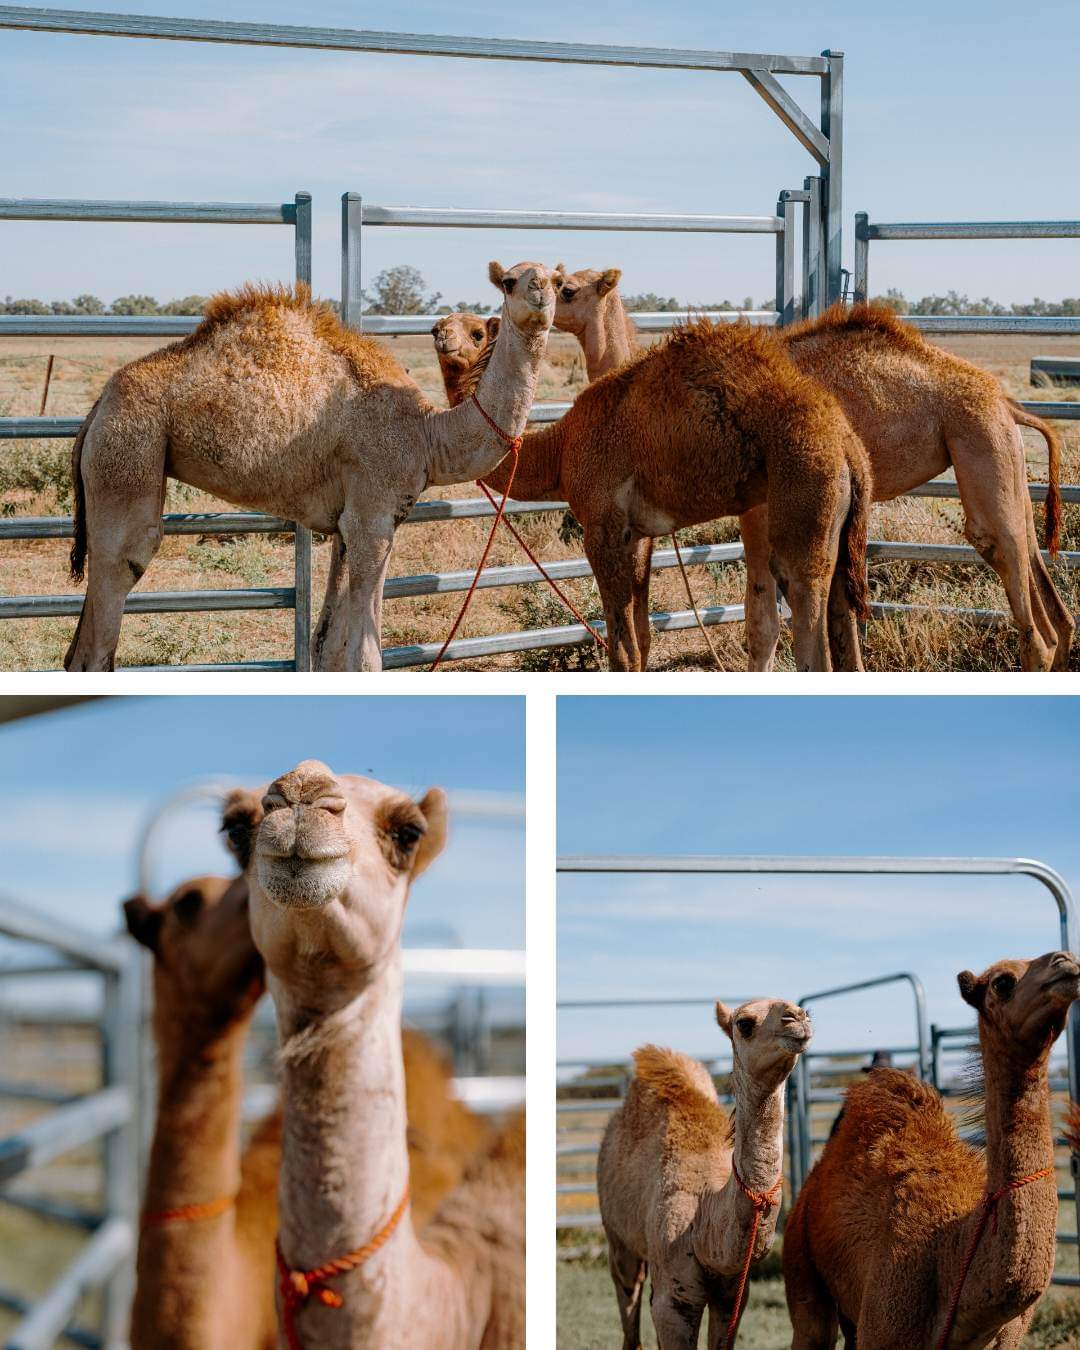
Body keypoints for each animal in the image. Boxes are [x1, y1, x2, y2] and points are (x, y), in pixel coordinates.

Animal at [64, 262, 556, 671]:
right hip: (129, 446)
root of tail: (98, 406)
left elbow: (328, 648)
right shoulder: (373, 514)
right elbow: (365, 657)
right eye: (510, 280)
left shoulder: (347, 522)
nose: (540, 291)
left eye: (556, 279)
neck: (428, 435)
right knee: (122, 564)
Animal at [552, 269, 1071, 671]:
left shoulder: (762, 505)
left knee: (1008, 571)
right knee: (1051, 598)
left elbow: (763, 620)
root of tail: (1005, 400)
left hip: (978, 438)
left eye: (566, 288)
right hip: (1004, 459)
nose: (540, 298)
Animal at [597, 999, 812, 1349]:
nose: (798, 1018)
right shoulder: (675, 1300)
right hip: (617, 1234)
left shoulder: (732, 1294)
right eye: (744, 1023)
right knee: (628, 1291)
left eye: (805, 1013)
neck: (705, 1222)